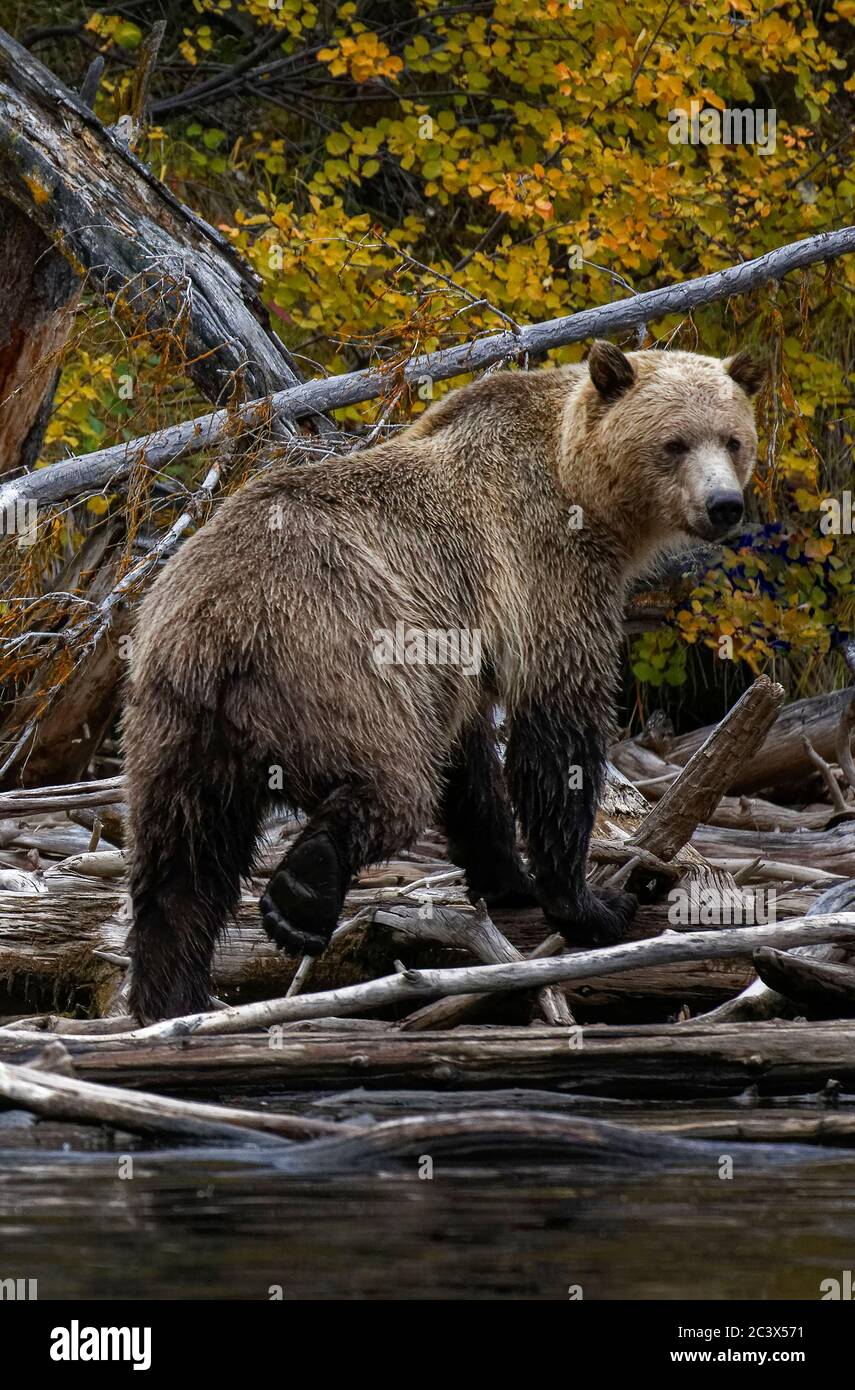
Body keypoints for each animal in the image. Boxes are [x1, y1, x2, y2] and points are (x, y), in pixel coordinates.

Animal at [123, 340, 763, 1022]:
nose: (724, 505)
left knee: (181, 862)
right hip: (340, 656)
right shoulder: (548, 575)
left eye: (732, 439)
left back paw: (173, 994)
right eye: (674, 443)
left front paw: (506, 877)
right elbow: (558, 730)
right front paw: (589, 901)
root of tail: (218, 624)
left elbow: (472, 767)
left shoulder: (462, 656)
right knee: (392, 784)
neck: (583, 489)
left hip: (175, 716)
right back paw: (299, 898)